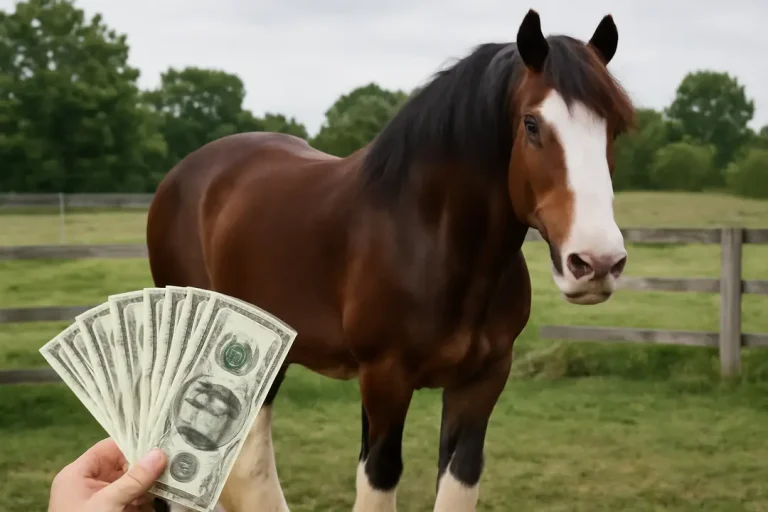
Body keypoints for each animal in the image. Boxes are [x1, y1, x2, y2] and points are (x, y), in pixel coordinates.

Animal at [145, 9, 635, 512]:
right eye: (532, 124)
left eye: (615, 127)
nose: (597, 262)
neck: (434, 243)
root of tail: (183, 175)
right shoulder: (384, 379)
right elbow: (379, 475)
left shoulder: (482, 380)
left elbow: (460, 477)